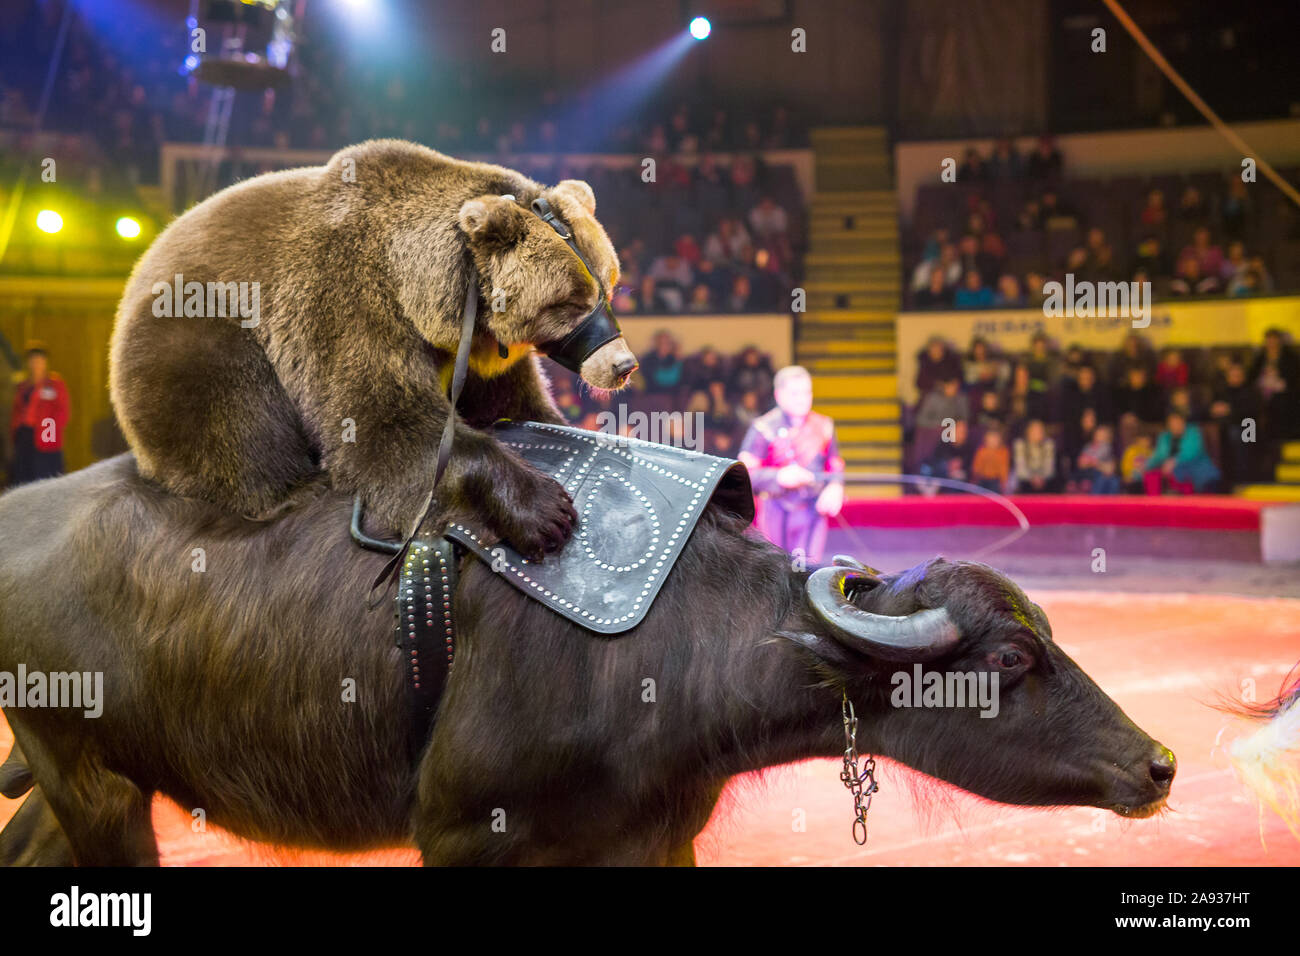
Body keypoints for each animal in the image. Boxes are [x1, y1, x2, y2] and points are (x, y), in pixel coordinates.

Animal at [0, 454, 1175, 865]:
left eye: (1052, 634)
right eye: (1015, 653)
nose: (1159, 763)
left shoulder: (650, 845)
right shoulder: (464, 837)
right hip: (84, 775)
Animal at [109, 140, 638, 559]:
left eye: (609, 285)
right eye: (570, 300)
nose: (623, 365)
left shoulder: (474, 353)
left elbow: (510, 398)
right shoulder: (349, 305)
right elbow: (384, 424)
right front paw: (544, 510)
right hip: (188, 324)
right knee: (229, 410)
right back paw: (293, 489)